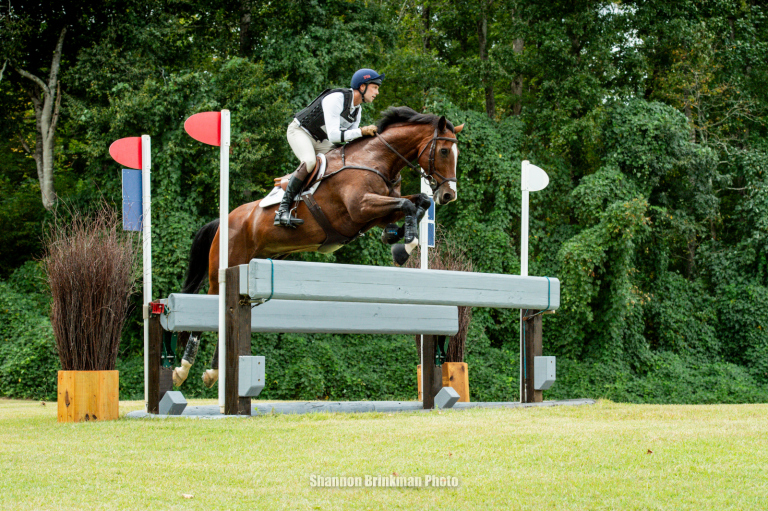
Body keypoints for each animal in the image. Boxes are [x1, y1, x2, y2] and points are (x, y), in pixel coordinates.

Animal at [171, 106, 464, 388]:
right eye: (444, 151)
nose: (449, 195)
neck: (375, 160)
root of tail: (225, 221)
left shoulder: (375, 212)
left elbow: (419, 202)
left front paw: (397, 240)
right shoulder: (360, 207)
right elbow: (408, 204)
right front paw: (405, 244)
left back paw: (213, 372)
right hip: (221, 271)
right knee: (209, 308)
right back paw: (183, 370)